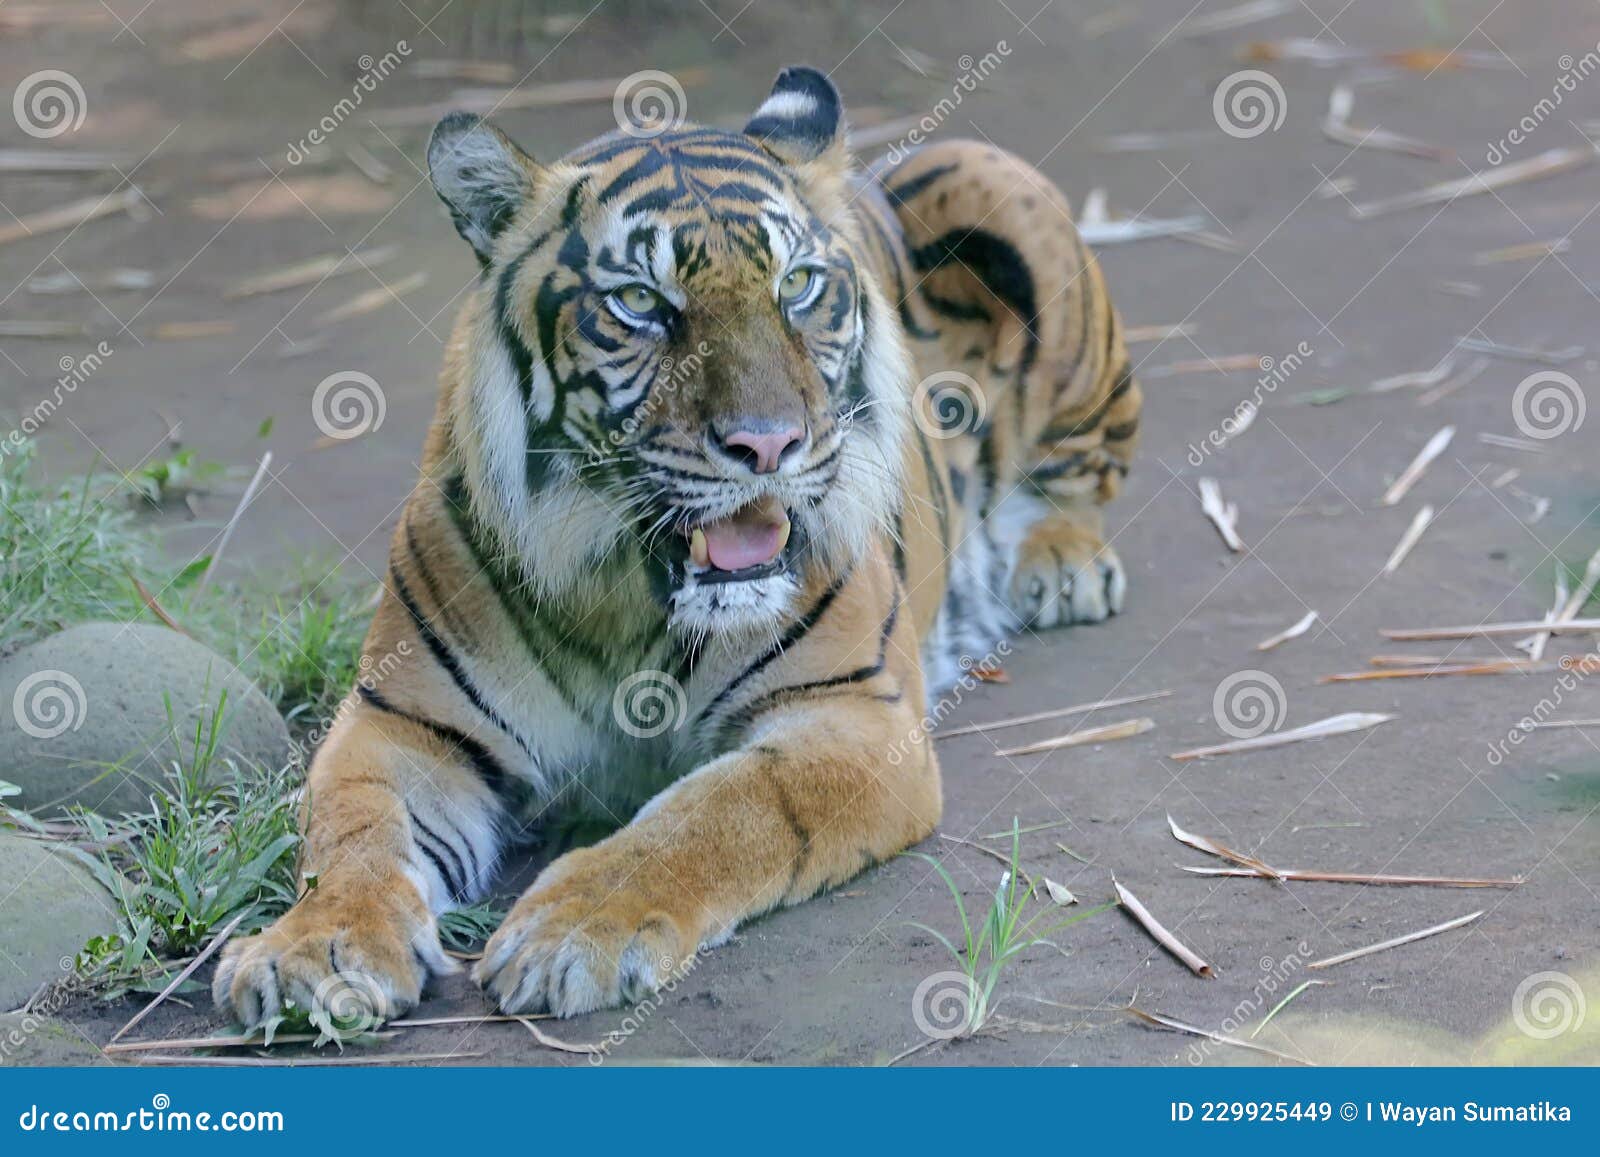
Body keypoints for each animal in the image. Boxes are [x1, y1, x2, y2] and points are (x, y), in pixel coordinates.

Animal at [213, 65, 1140, 1024]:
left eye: (798, 284)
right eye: (639, 303)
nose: (769, 444)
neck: (624, 591)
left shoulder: (852, 716)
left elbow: (719, 810)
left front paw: (573, 926)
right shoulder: (400, 723)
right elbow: (354, 832)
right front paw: (314, 947)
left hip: (997, 190)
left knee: (1089, 466)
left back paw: (1061, 565)